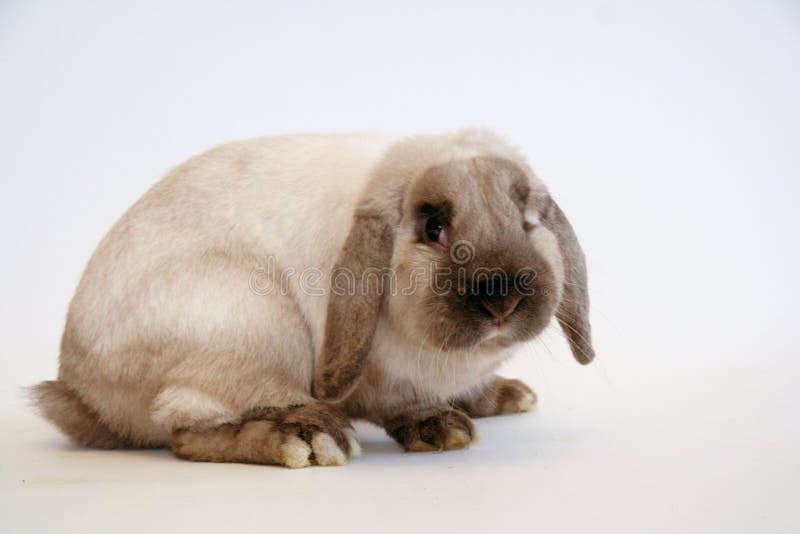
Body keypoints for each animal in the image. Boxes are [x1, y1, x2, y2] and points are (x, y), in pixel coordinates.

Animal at [33, 128, 594, 467]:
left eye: (529, 220)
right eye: (433, 227)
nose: (502, 300)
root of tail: (84, 396)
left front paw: (504, 396)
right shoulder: (377, 374)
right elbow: (399, 402)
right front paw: (440, 427)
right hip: (255, 331)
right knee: (188, 432)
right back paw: (308, 440)